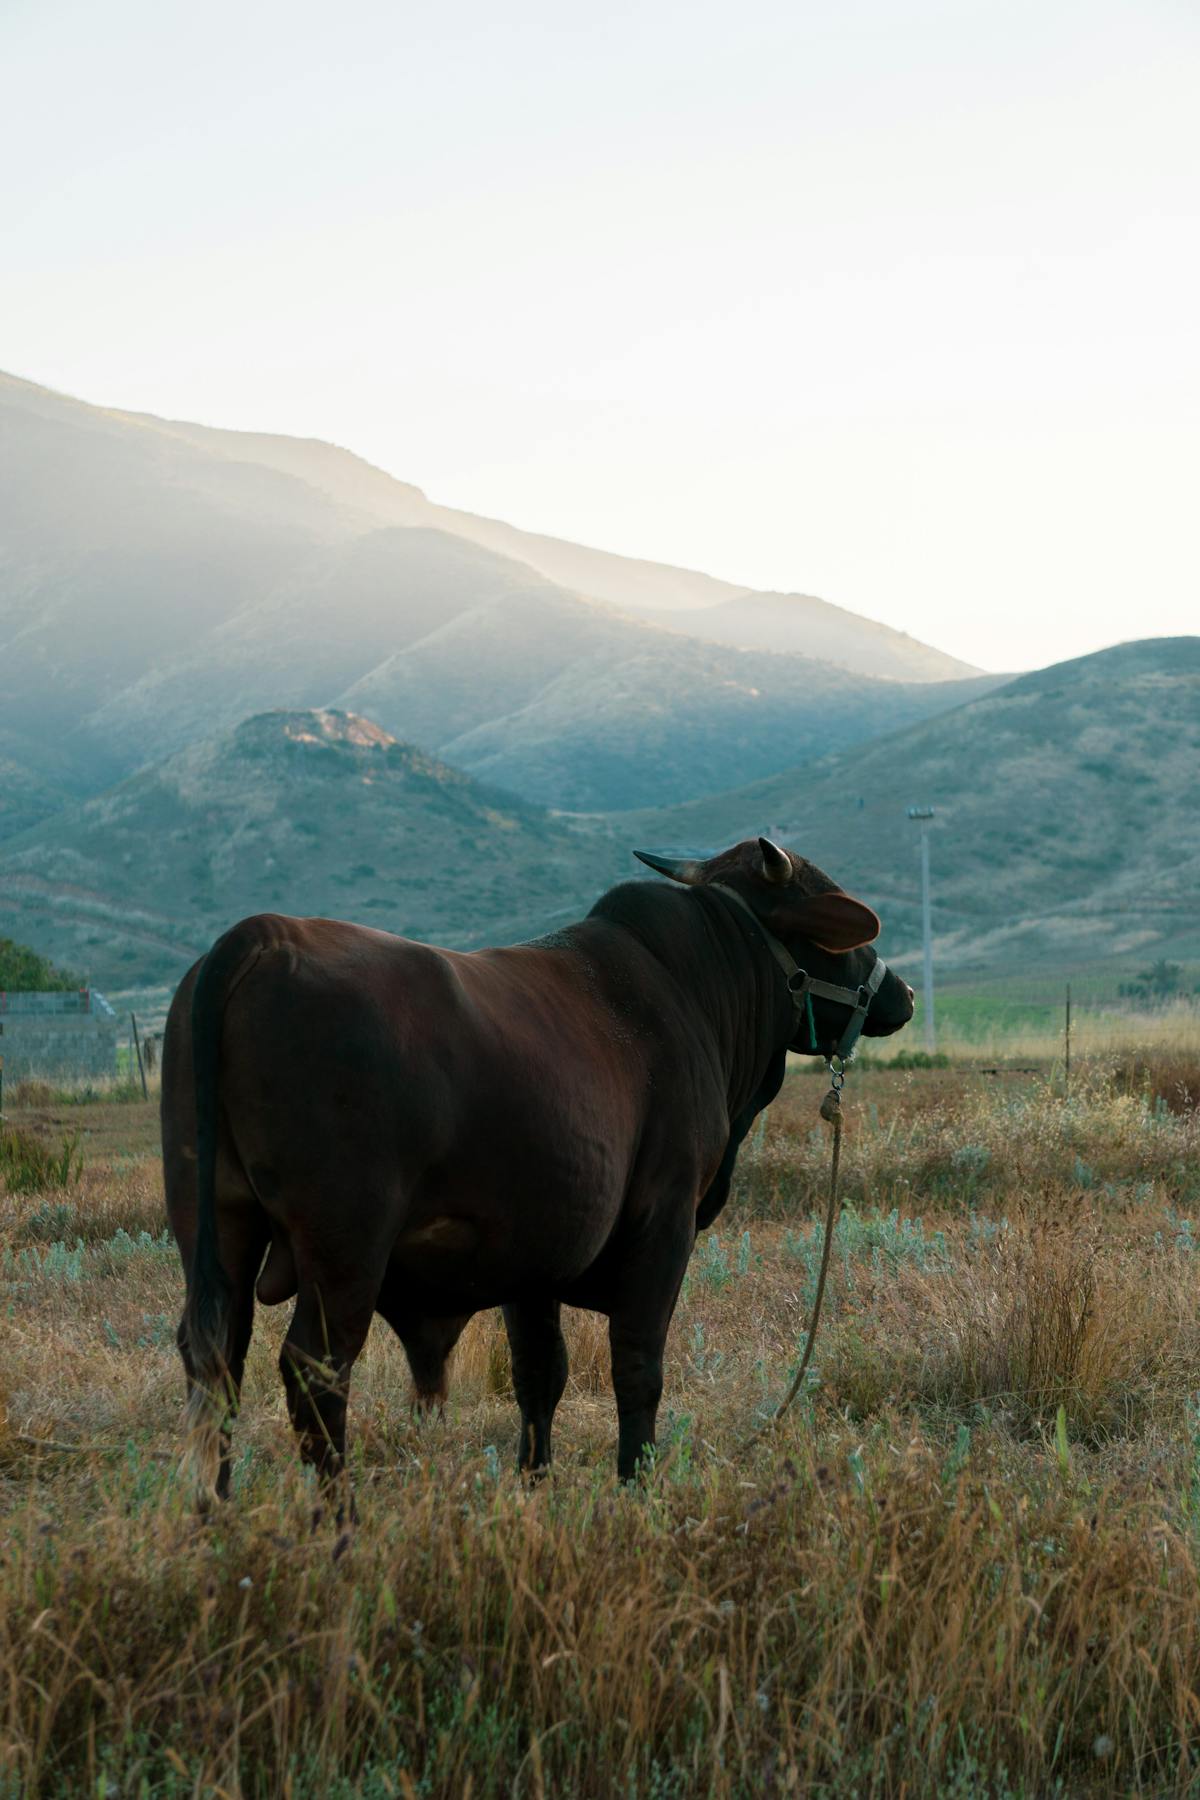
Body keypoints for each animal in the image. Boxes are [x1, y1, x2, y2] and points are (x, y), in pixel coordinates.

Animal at [162, 837, 914, 1503]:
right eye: (841, 930)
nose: (902, 994)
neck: (696, 988)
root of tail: (259, 937)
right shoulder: (664, 1224)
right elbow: (638, 1367)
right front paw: (636, 1486)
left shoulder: (533, 1253)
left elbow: (538, 1375)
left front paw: (534, 1483)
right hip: (344, 1248)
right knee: (314, 1370)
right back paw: (334, 1522)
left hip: (214, 1228)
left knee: (216, 1357)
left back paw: (214, 1512)